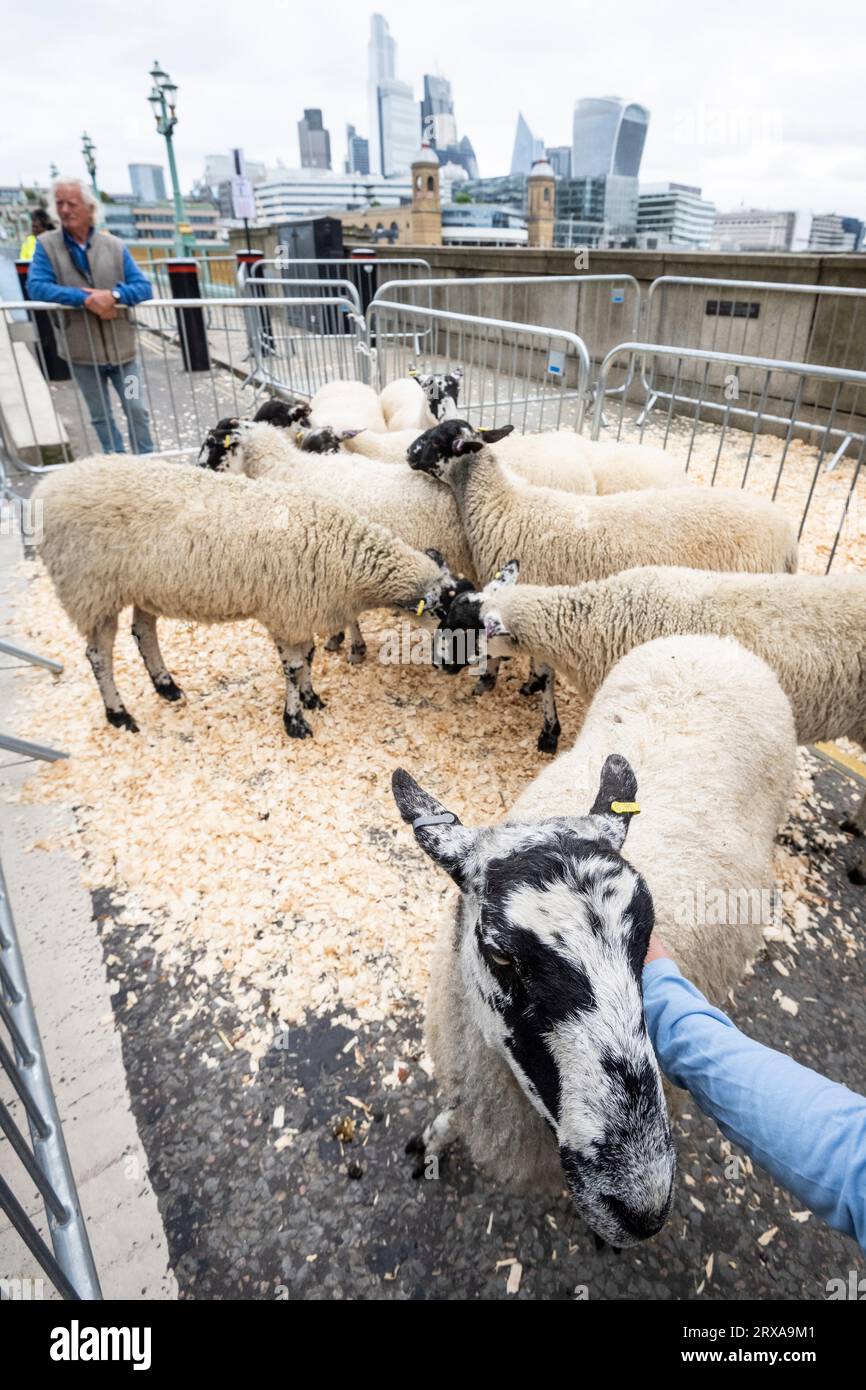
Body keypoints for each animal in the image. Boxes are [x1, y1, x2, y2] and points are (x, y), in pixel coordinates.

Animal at [33, 457, 452, 738]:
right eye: (447, 612)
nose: (451, 667)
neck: (347, 556)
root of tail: (48, 486)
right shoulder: (287, 611)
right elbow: (293, 667)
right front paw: (295, 720)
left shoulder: (300, 612)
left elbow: (308, 658)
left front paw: (311, 697)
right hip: (91, 591)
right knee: (99, 656)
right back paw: (119, 714)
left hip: (144, 586)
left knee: (144, 632)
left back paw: (166, 686)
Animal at [411, 419, 798, 751]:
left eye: (436, 439)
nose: (408, 452)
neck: (501, 505)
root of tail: (789, 540)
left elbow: (535, 666)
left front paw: (534, 712)